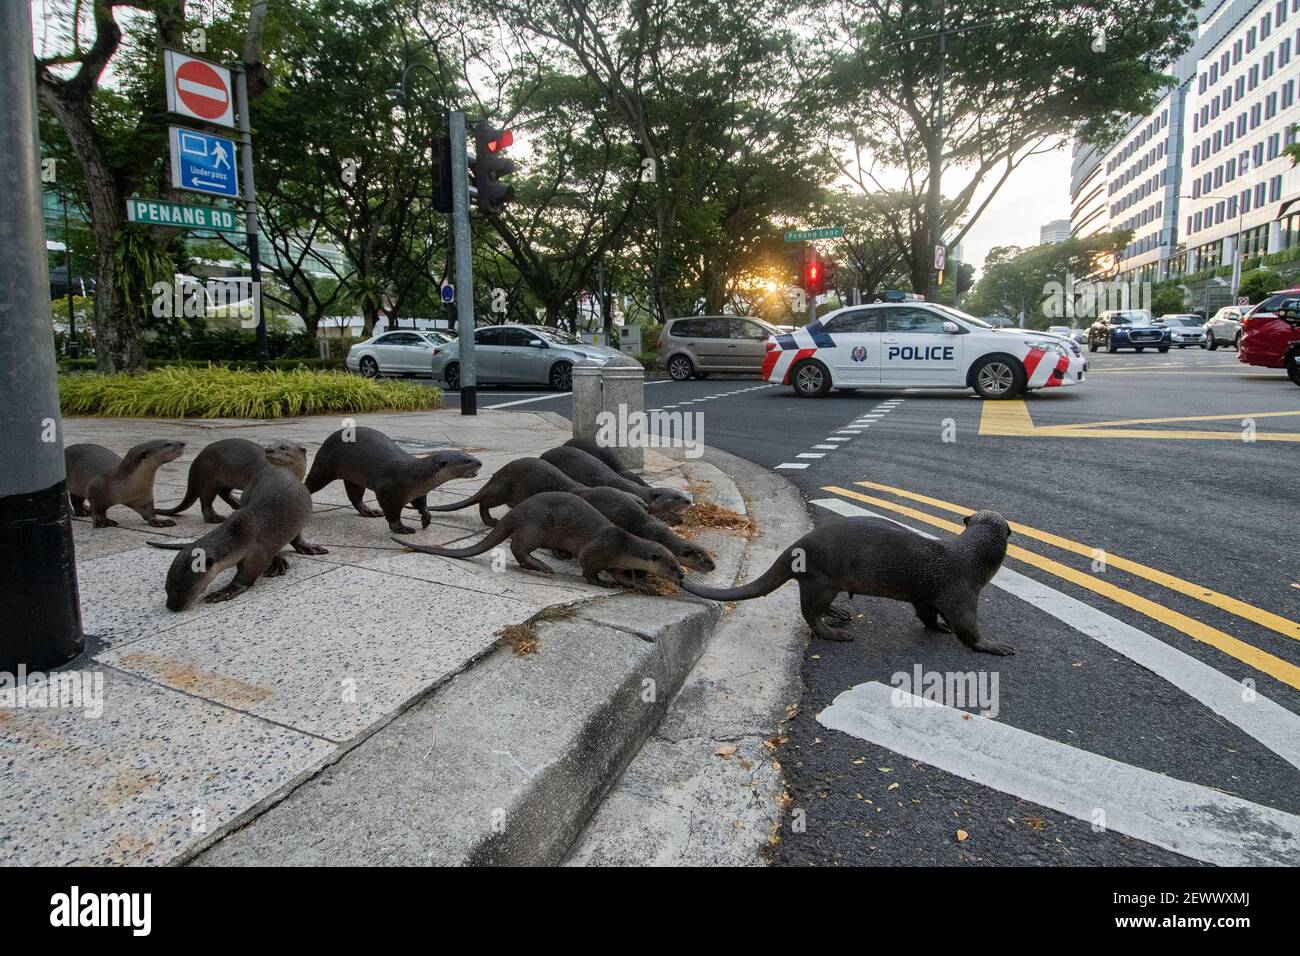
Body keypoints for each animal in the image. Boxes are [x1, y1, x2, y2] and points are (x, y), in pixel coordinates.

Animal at [149, 461, 328, 610]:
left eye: (185, 588)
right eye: (167, 587)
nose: (172, 606)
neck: (239, 535)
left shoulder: (257, 552)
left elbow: (246, 577)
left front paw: (223, 592)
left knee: (295, 536)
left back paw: (307, 548)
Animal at [158, 438, 308, 523]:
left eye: (283, 447)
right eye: (271, 444)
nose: (269, 449)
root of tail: (197, 459)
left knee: (223, 492)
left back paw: (236, 504)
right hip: (209, 478)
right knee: (206, 498)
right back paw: (214, 518)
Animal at [304, 426, 481, 534]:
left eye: (469, 455)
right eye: (466, 460)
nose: (480, 462)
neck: (412, 476)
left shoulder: (419, 492)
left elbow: (421, 504)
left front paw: (426, 517)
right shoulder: (387, 490)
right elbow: (392, 512)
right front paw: (401, 528)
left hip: (354, 478)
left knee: (355, 496)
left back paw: (369, 511)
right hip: (324, 467)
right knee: (311, 483)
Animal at [395, 491, 684, 587]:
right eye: (672, 565)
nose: (681, 576)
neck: (622, 546)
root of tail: (517, 511)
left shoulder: (616, 561)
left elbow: (622, 575)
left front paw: (643, 585)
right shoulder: (597, 550)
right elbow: (588, 568)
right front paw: (601, 583)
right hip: (536, 527)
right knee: (517, 546)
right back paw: (542, 567)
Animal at [679, 511, 1015, 655]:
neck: (968, 559)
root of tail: (796, 547)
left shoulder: (925, 594)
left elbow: (927, 615)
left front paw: (938, 627)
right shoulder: (961, 592)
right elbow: (966, 627)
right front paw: (994, 645)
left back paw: (840, 613)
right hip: (822, 581)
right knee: (809, 613)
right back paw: (835, 632)